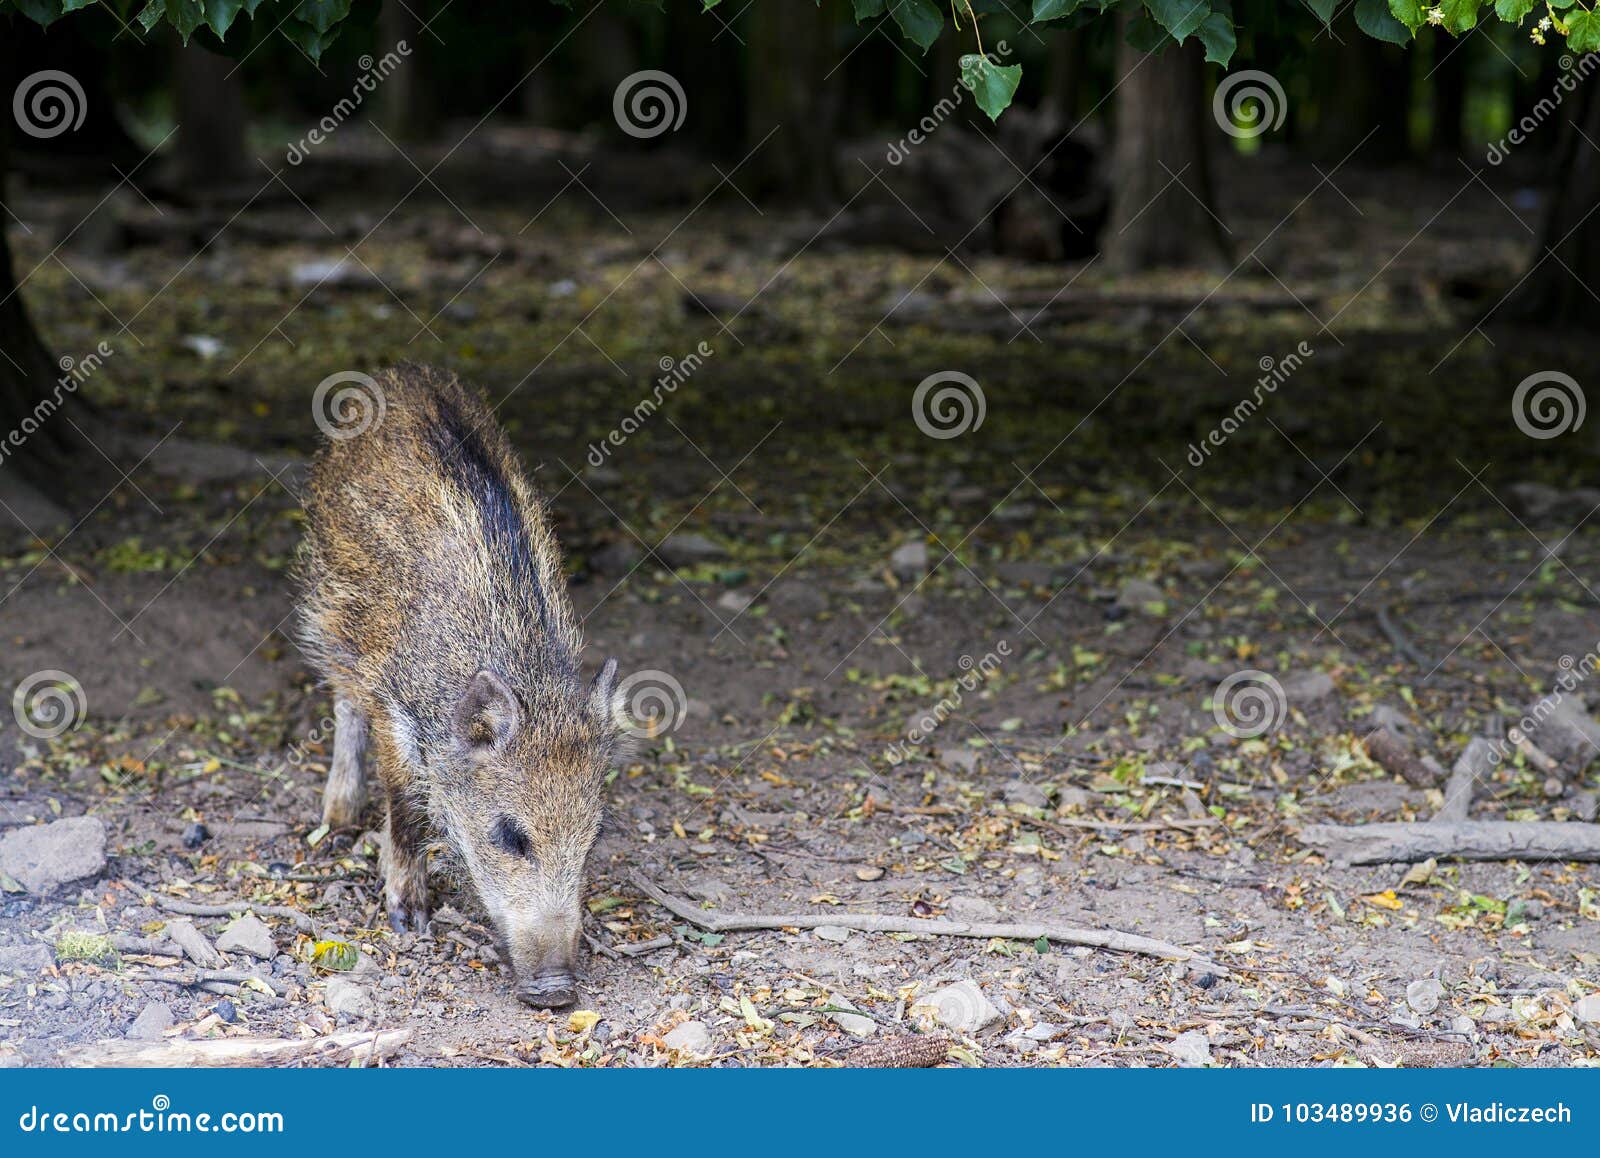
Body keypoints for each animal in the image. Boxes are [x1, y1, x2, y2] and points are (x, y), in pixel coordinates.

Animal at [297, 364, 622, 1008]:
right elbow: (406, 808)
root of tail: (397, 376)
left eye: (594, 837)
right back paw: (340, 820)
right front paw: (409, 918)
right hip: (331, 603)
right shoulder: (393, 704)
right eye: (510, 835)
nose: (557, 991)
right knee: (342, 700)